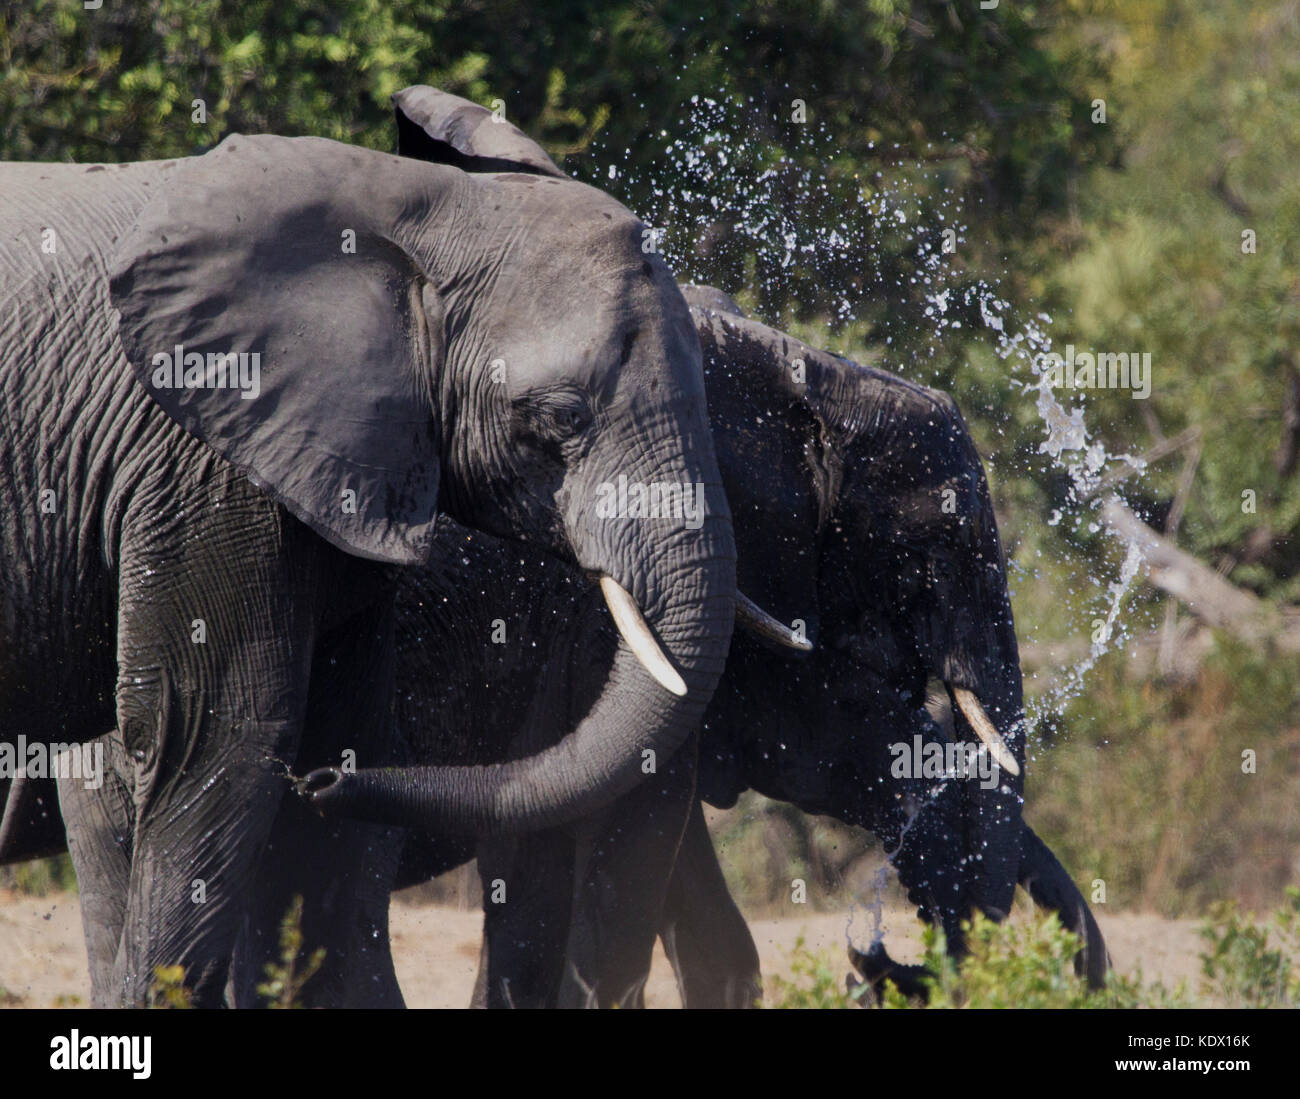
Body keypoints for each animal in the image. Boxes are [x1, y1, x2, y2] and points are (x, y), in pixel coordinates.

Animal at [0, 85, 742, 1007]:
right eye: (564, 417)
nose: (325, 789)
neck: (410, 216)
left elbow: (329, 749)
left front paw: (322, 778)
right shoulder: (200, 462)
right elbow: (211, 737)